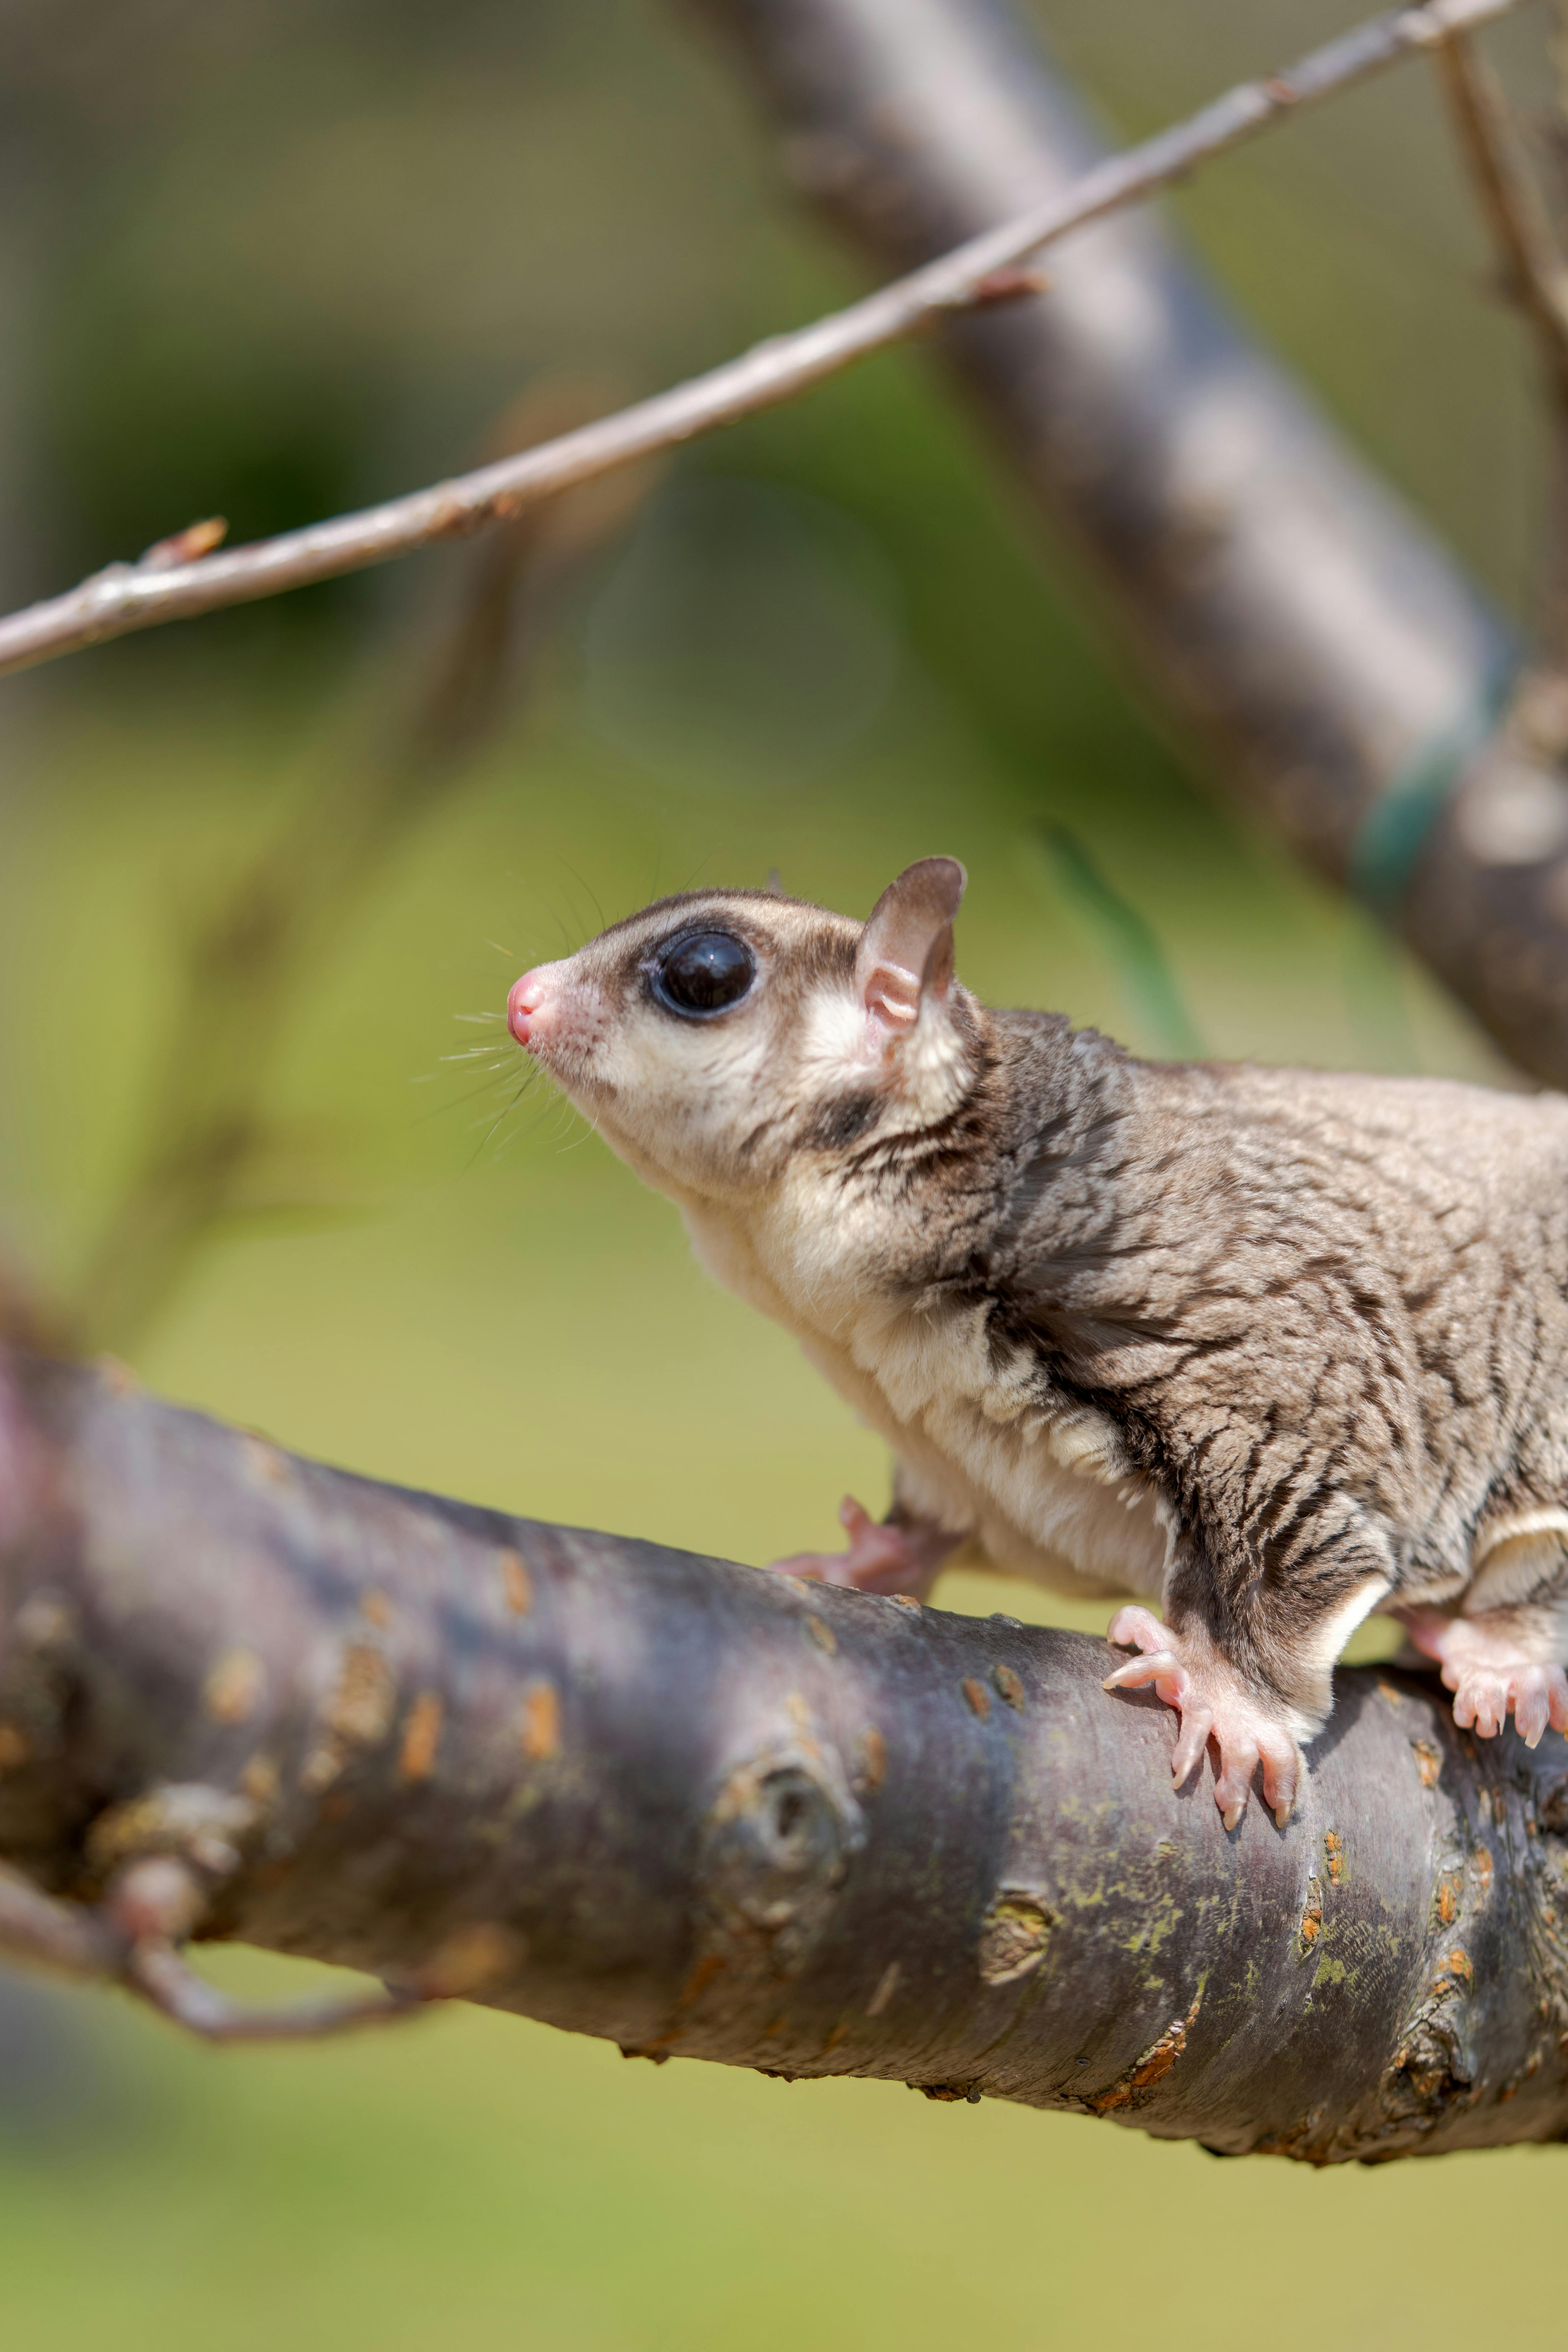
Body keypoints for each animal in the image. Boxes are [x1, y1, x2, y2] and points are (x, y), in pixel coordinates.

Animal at [507, 857, 1568, 1827]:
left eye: (704, 975)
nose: (522, 1001)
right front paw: (871, 1561)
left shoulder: (1249, 1355)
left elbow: (1302, 1532)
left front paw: (1234, 1702)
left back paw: (1498, 1654)